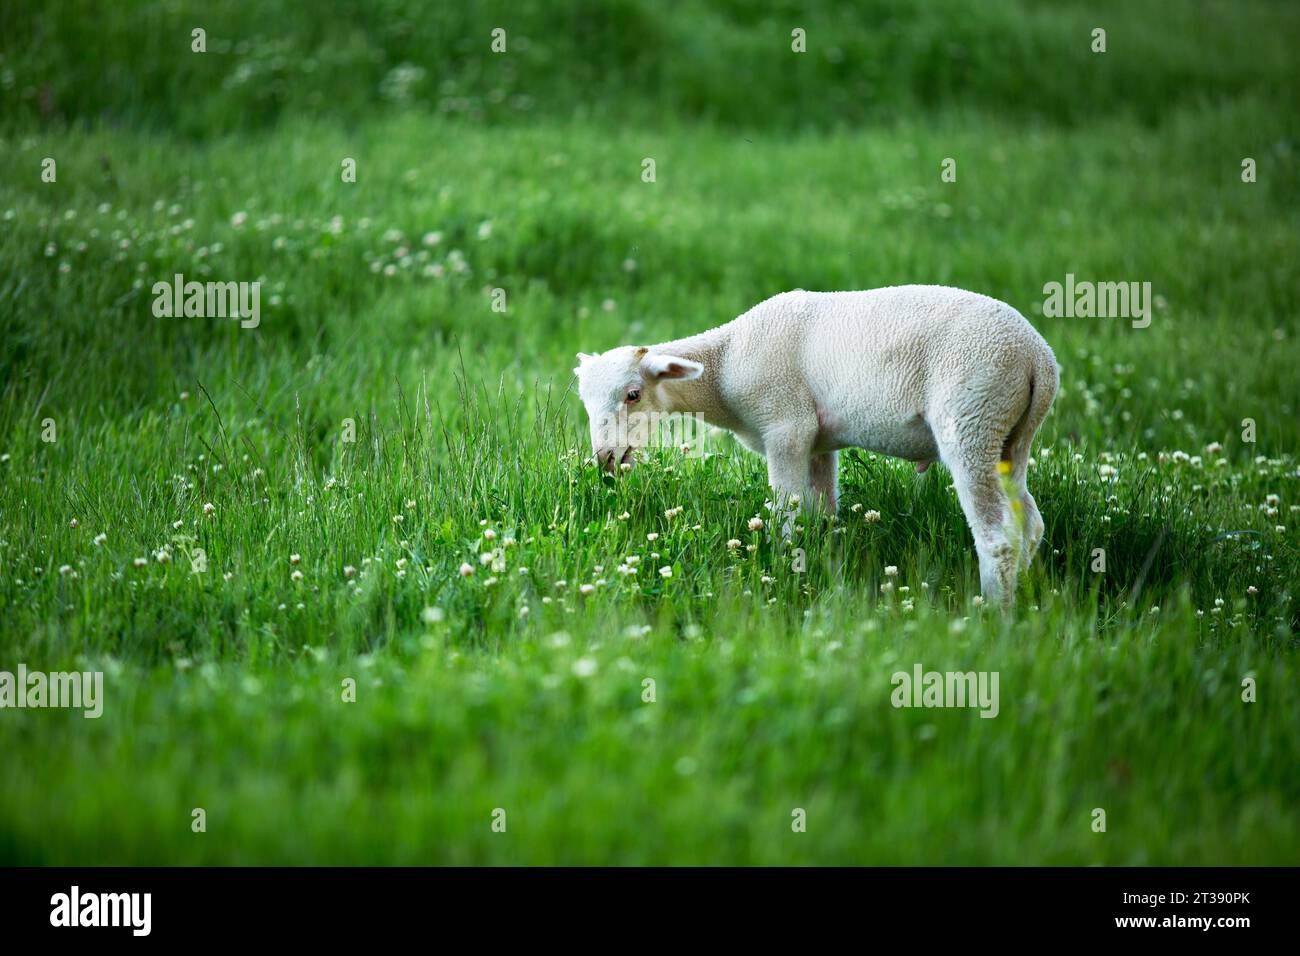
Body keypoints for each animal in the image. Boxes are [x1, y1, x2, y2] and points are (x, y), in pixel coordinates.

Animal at [574, 286, 1059, 606]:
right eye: (584, 401)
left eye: (633, 394)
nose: (605, 458)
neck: (724, 365)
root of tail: (1039, 358)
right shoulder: (819, 443)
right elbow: (822, 517)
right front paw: (821, 572)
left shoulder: (787, 425)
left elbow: (785, 514)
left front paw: (784, 575)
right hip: (1010, 438)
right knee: (1030, 524)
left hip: (972, 417)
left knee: (997, 536)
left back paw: (994, 615)